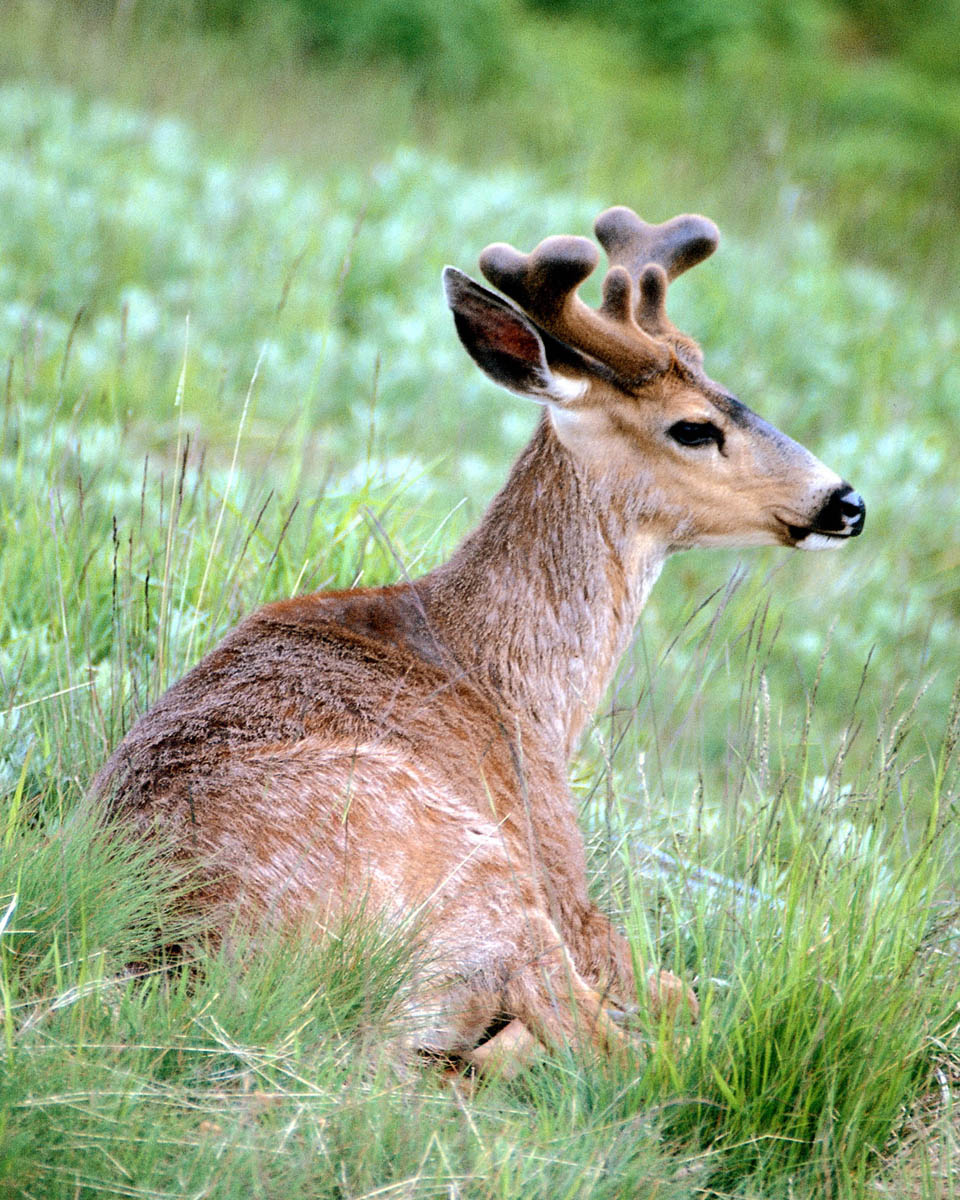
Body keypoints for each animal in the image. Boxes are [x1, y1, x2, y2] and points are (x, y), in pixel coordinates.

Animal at [93, 205, 865, 1075]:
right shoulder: (565, 878)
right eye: (693, 428)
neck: (515, 680)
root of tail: (183, 959)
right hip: (488, 879)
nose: (846, 502)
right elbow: (669, 987)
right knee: (605, 1048)